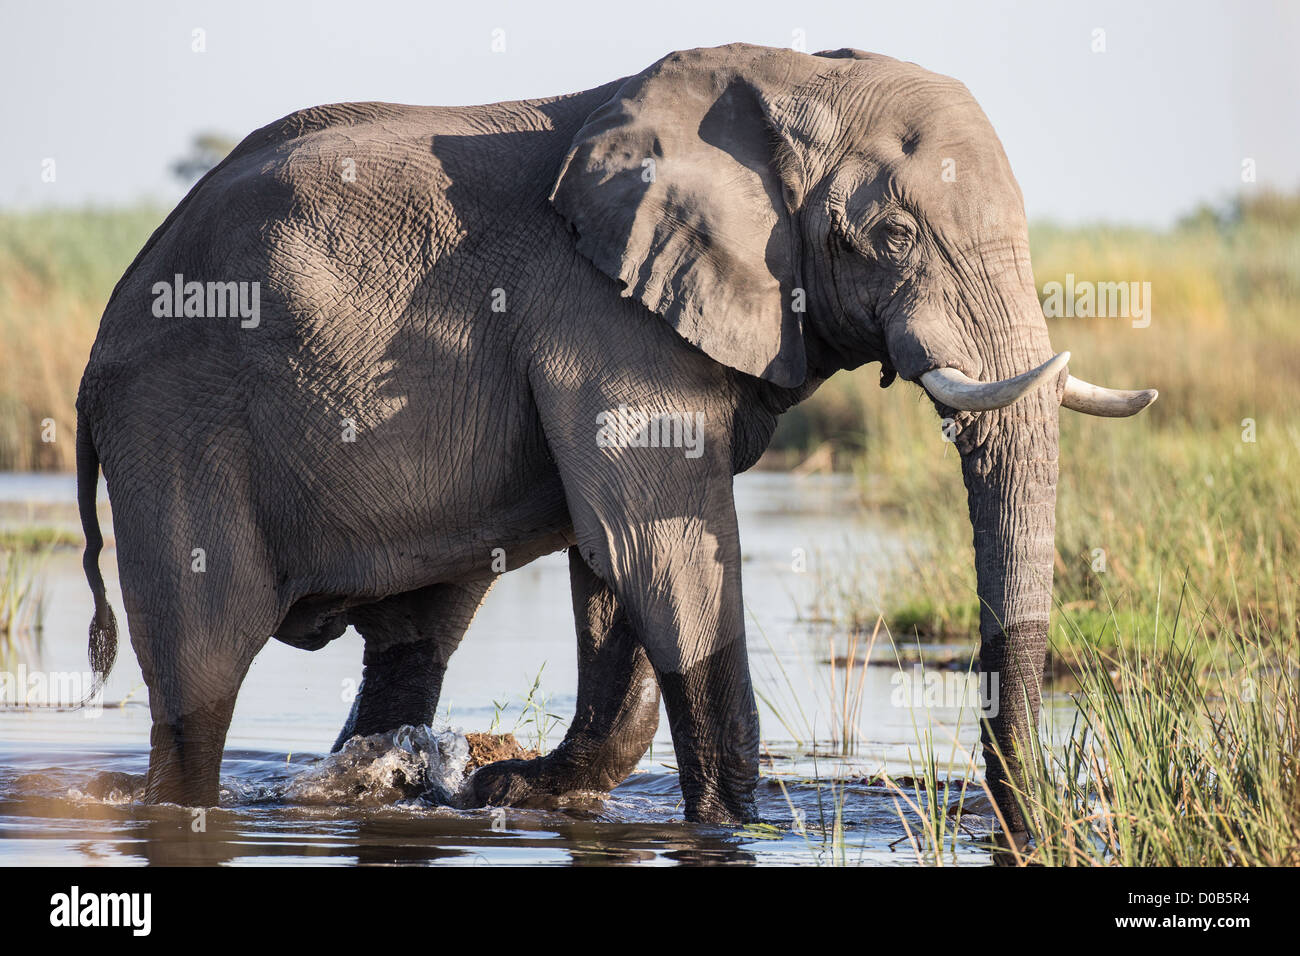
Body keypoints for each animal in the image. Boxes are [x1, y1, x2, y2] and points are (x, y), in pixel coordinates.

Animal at [76, 43, 1155, 831]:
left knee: (412, 642)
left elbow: (617, 562)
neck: (792, 76)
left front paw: (520, 788)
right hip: (174, 425)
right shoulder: (604, 316)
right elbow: (663, 552)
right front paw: (731, 826)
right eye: (887, 237)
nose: (1010, 823)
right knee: (201, 677)